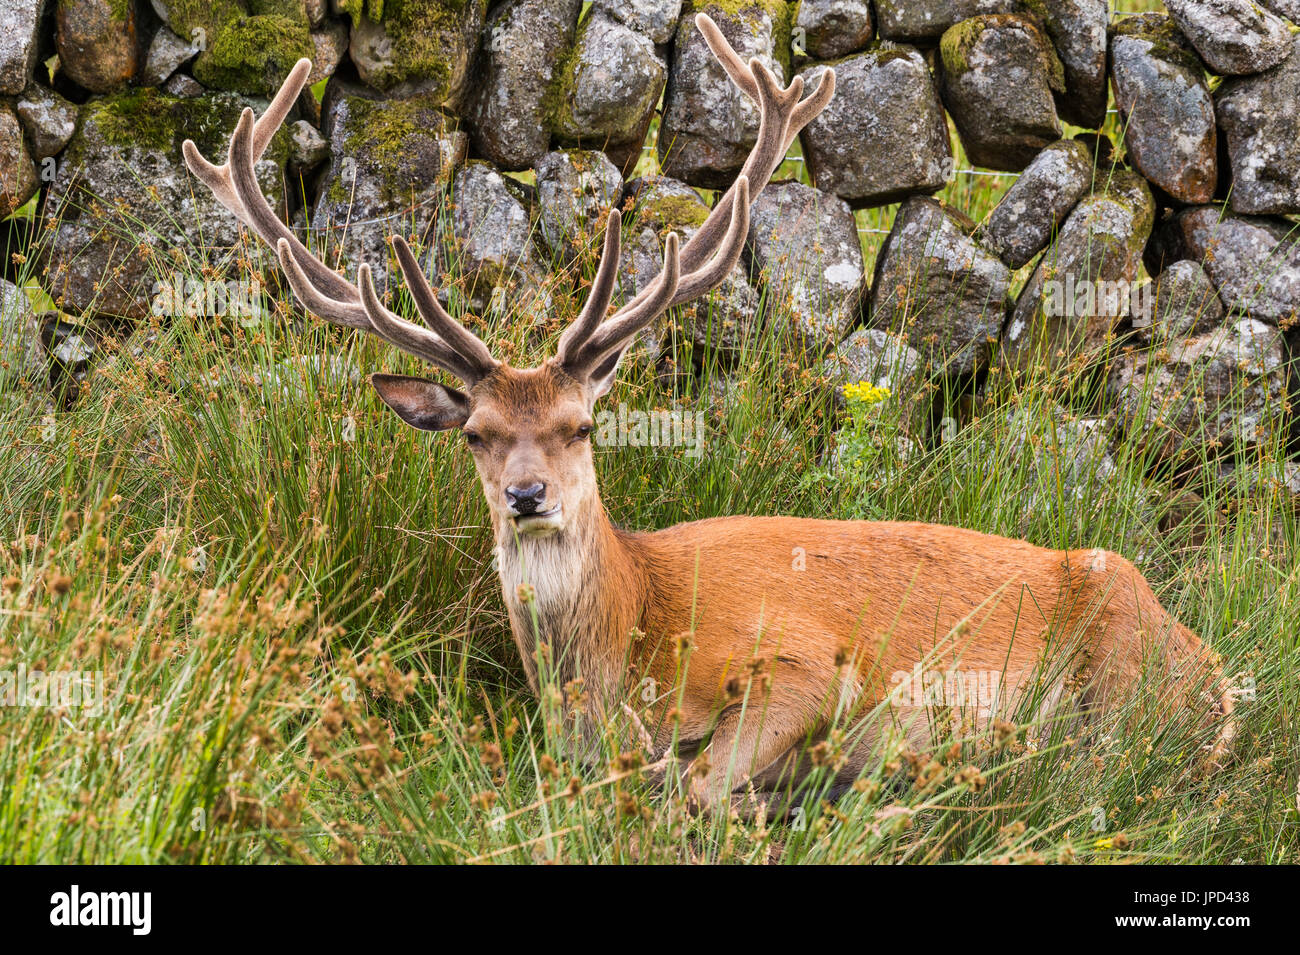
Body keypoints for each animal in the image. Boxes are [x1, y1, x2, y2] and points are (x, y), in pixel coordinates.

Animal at [183, 14, 1236, 812]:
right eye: (477, 435)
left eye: (581, 425)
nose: (527, 496)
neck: (622, 648)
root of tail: (1223, 679)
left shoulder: (803, 658)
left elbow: (687, 786)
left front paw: (770, 793)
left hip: (1123, 664)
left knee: (1096, 777)